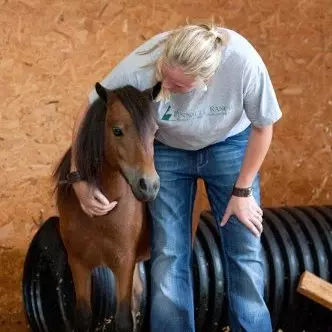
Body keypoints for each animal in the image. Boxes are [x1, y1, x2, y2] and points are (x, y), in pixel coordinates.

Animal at [53, 81, 161, 332]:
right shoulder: (78, 264)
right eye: (117, 131)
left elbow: (123, 320)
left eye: (155, 132)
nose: (149, 185)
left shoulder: (124, 265)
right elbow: (83, 317)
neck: (100, 217)